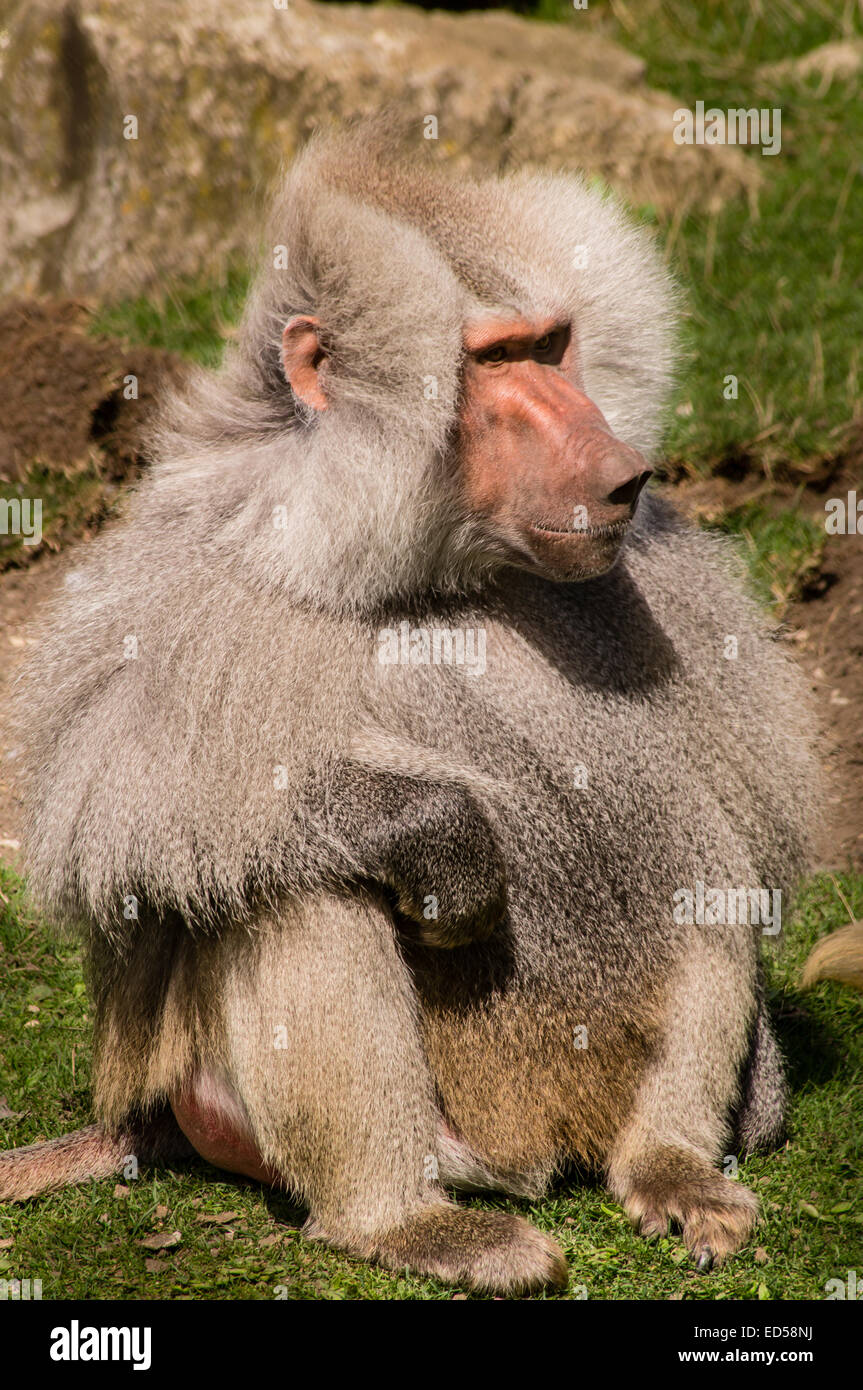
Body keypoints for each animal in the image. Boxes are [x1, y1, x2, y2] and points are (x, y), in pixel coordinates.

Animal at [0, 122, 817, 1296]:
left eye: (551, 346)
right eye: (492, 363)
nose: (624, 474)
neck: (430, 577)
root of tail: (539, 1153)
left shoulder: (659, 589)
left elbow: (730, 848)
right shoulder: (170, 587)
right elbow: (117, 833)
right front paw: (442, 838)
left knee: (694, 855)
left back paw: (669, 1164)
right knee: (285, 879)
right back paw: (404, 1222)